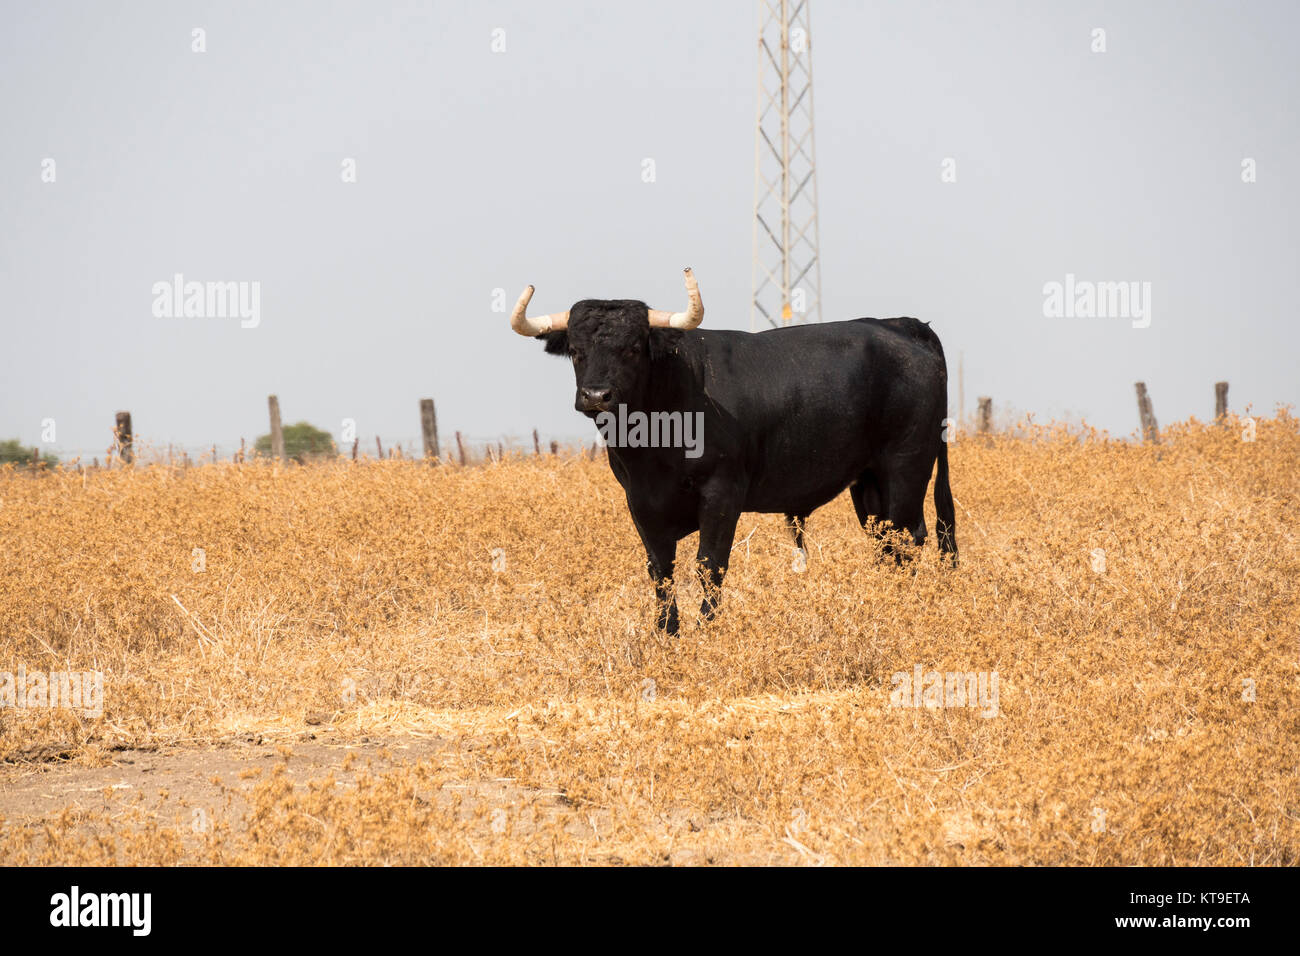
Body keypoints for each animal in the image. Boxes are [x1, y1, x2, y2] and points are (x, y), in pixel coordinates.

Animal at [512, 268, 956, 635]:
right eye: (576, 351)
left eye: (633, 349)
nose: (596, 396)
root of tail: (901, 326)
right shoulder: (639, 501)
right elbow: (661, 570)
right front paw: (666, 635)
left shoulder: (722, 492)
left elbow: (710, 565)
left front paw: (707, 631)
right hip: (868, 480)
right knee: (885, 543)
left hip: (906, 467)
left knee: (908, 538)